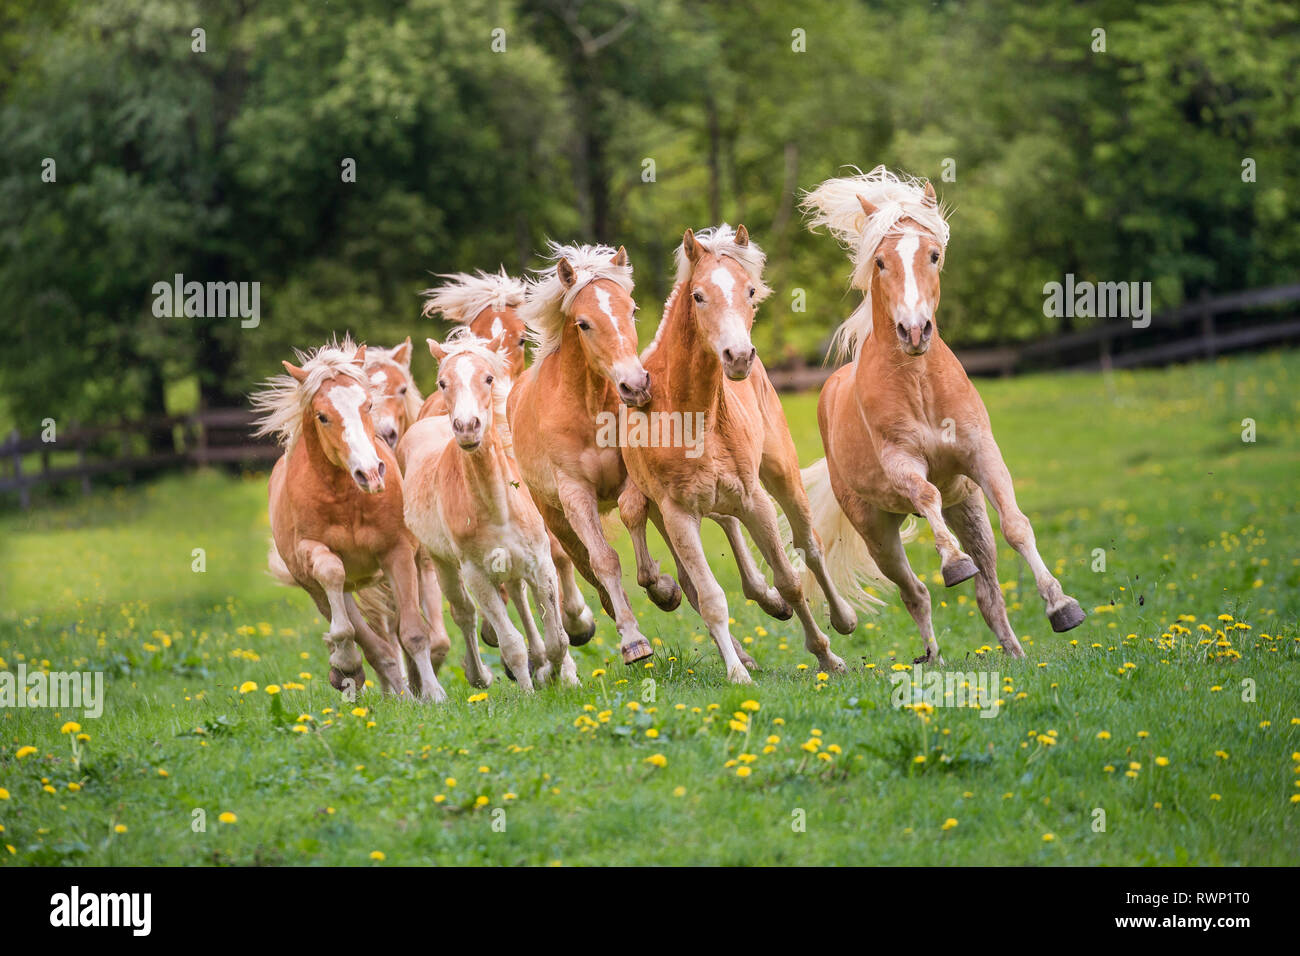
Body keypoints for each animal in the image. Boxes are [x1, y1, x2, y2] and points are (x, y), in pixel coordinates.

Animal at [253, 338, 448, 701]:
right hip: (316, 586)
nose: (370, 473)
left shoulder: (398, 553)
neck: (347, 501)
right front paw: (344, 660)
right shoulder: (311, 552)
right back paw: (369, 678)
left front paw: (433, 693)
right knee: (373, 644)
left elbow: (415, 632)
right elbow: (334, 581)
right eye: (322, 416)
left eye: (368, 404)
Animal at [400, 330, 579, 691]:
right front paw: (529, 689)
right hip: (442, 563)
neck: (498, 508)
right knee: (464, 614)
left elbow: (557, 637)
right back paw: (480, 675)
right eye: (443, 382)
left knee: (521, 598)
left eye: (488, 378)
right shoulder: (477, 575)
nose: (467, 426)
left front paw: (559, 675)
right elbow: (510, 643)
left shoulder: (540, 562)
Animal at [508, 242, 681, 666]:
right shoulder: (575, 496)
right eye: (584, 323)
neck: (587, 409)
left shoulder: (630, 477)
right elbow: (603, 561)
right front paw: (634, 641)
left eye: (632, 310)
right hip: (556, 517)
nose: (635, 385)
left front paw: (663, 587)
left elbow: (633, 515)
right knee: (581, 564)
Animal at [621, 224, 858, 684]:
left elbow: (790, 579)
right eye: (698, 295)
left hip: (782, 474)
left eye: (750, 291)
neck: (696, 416)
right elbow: (710, 597)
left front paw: (827, 656)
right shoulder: (678, 514)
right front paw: (737, 674)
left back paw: (842, 619)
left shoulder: (755, 499)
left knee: (810, 546)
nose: (739, 356)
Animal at [799, 165, 1086, 664]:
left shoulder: (982, 455)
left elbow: (1017, 527)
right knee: (914, 592)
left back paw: (1014, 654)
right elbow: (926, 496)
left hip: (967, 507)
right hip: (877, 532)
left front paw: (1062, 606)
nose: (914, 331)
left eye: (933, 255)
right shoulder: (903, 463)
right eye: (880, 262)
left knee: (988, 593)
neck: (920, 384)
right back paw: (933, 654)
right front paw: (953, 563)